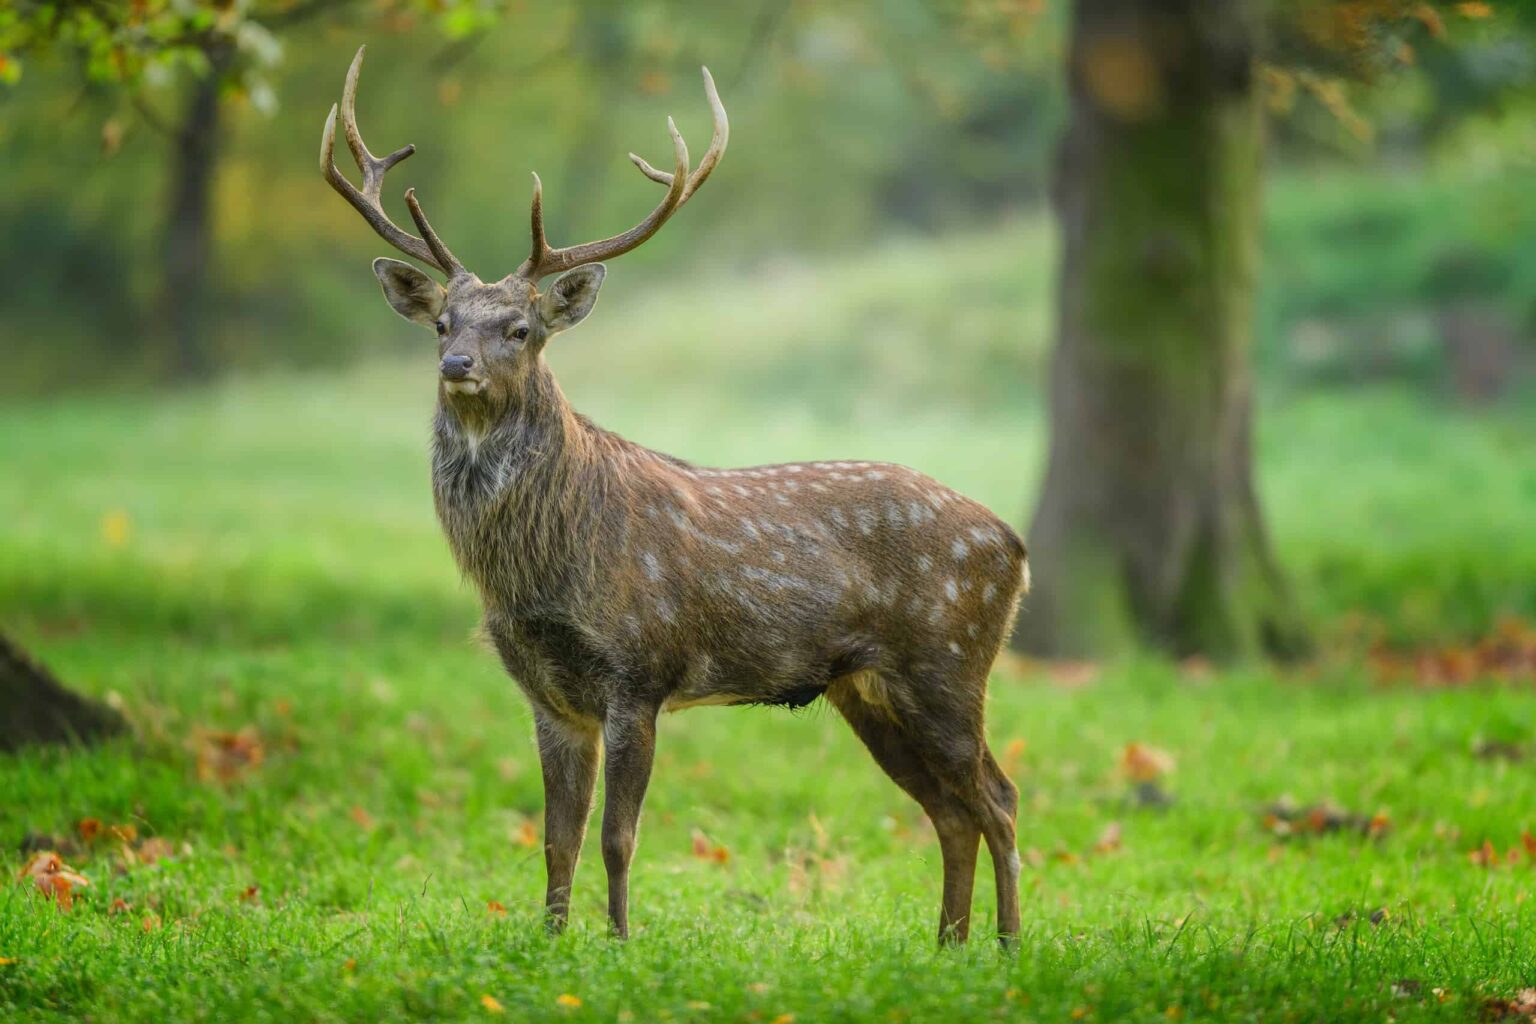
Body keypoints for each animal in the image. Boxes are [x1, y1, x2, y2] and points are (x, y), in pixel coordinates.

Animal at [320, 47, 1029, 945]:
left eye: (521, 329)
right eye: (443, 322)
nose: (457, 367)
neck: (541, 567)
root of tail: (1013, 544)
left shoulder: (640, 669)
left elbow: (618, 837)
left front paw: (621, 942)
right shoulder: (547, 693)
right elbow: (556, 838)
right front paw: (550, 942)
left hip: (949, 657)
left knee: (997, 797)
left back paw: (1006, 944)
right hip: (868, 688)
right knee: (949, 810)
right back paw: (948, 945)